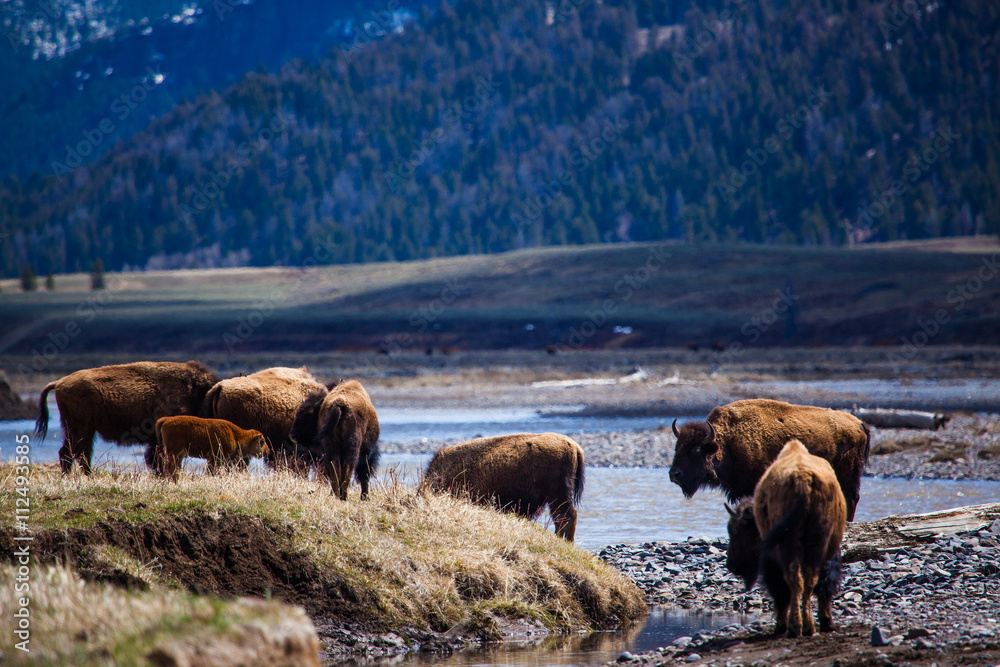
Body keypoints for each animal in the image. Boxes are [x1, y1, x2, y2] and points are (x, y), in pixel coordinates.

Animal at [35, 361, 220, 474]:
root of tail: (59, 383)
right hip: (80, 429)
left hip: (80, 430)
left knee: (74, 453)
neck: (196, 394)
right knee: (75, 453)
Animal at [669, 399, 870, 520]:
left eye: (696, 449)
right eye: (677, 447)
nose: (674, 474)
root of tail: (859, 423)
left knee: (851, 497)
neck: (727, 441)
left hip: (848, 473)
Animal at [725, 439, 846, 637]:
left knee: (793, 581)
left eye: (735, 530)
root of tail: (803, 480)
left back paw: (794, 627)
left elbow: (780, 592)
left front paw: (780, 625)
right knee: (812, 580)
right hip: (820, 540)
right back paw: (814, 625)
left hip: (786, 546)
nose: (731, 565)